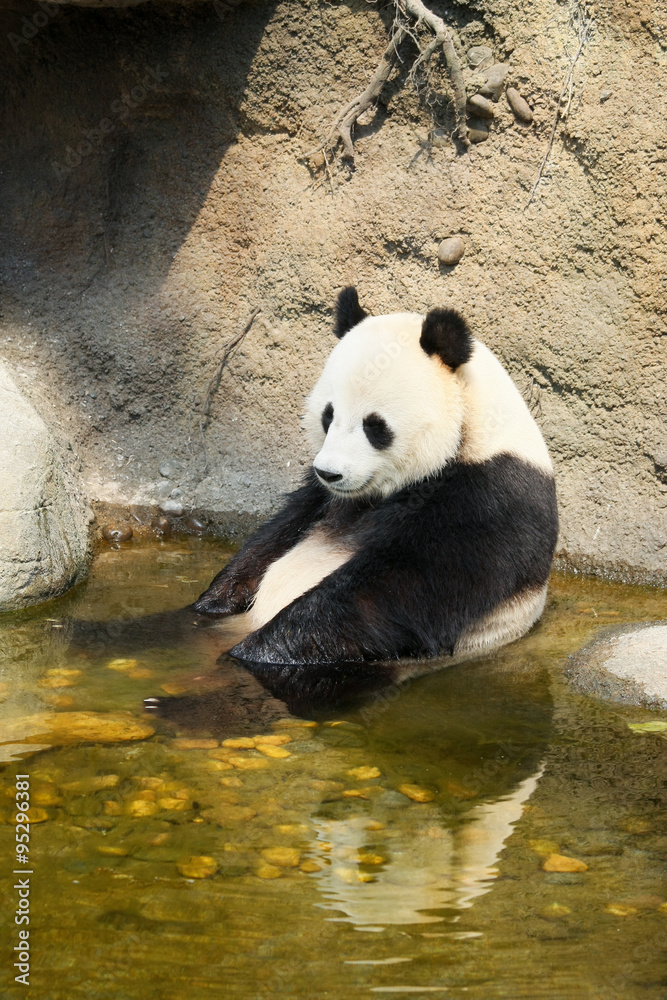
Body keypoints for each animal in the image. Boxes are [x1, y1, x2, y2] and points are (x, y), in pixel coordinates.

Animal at [192, 287, 558, 667]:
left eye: (374, 425)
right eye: (328, 415)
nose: (329, 472)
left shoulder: (489, 499)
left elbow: (390, 593)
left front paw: (258, 650)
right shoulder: (319, 500)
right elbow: (273, 537)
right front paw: (216, 598)